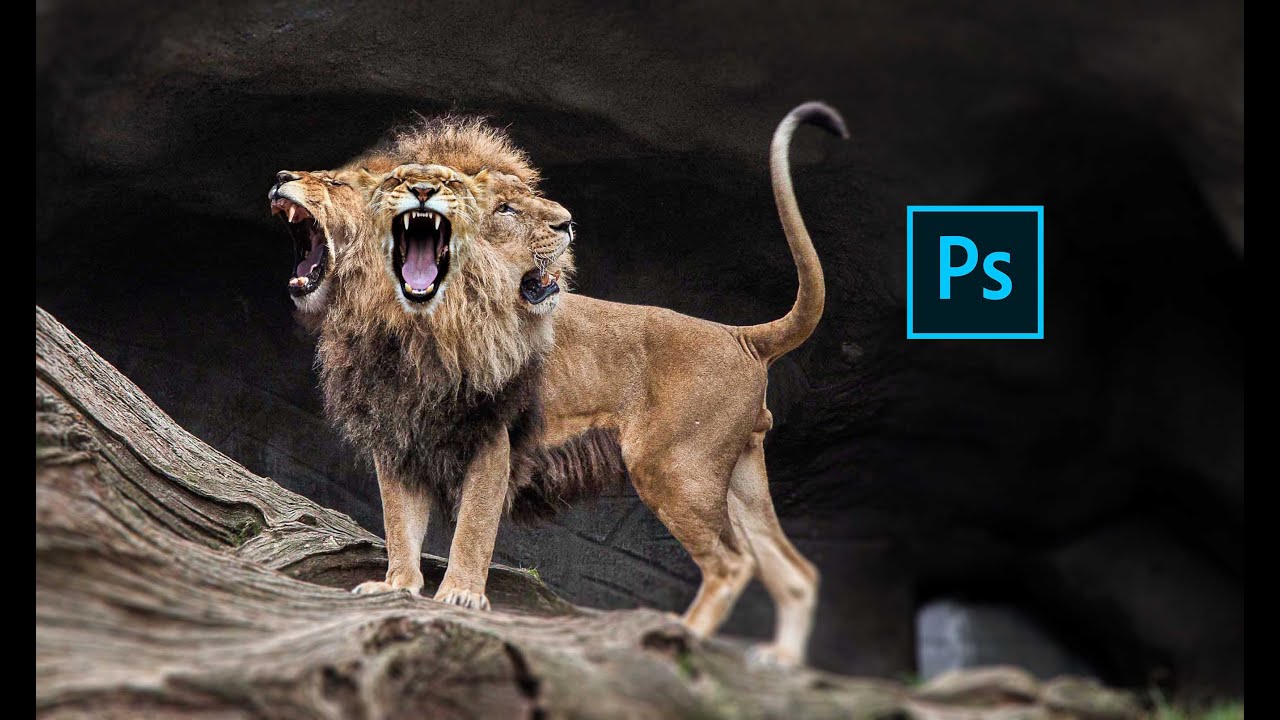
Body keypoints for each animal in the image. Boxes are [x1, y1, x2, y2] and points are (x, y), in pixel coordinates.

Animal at [338, 102, 846, 668]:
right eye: (505, 209)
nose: (566, 222)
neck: (425, 333)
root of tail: (739, 335)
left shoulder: (494, 440)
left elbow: (474, 523)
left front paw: (461, 596)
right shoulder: (396, 440)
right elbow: (399, 522)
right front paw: (396, 586)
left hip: (674, 465)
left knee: (733, 563)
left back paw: (679, 635)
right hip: (736, 473)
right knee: (793, 570)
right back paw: (780, 658)